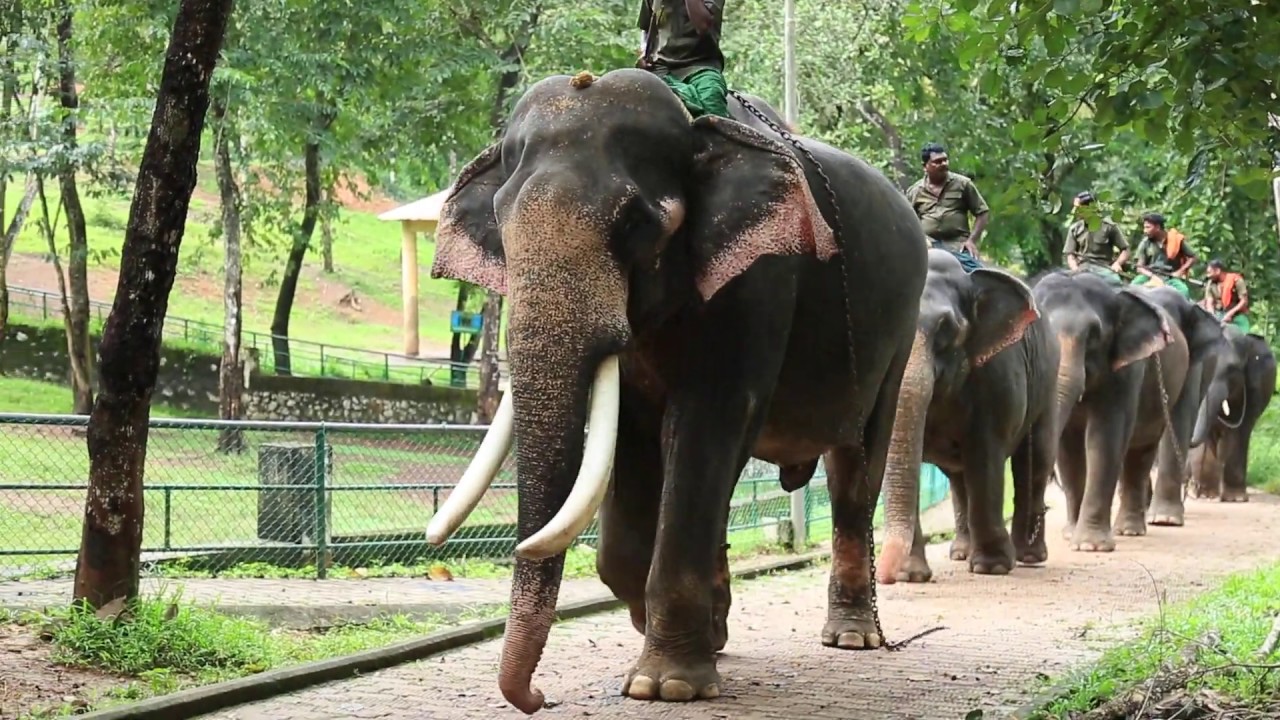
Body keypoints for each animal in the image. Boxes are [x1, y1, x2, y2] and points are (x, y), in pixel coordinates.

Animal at [421, 69, 927, 713]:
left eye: (636, 224)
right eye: (501, 223)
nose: (537, 697)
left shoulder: (759, 279)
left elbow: (705, 424)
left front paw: (667, 685)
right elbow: (632, 453)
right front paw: (681, 642)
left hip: (899, 335)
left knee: (854, 472)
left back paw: (851, 637)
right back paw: (723, 632)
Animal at [878, 250, 1059, 584]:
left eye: (946, 328)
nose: (885, 578)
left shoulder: (997, 370)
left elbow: (986, 453)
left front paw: (993, 567)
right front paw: (912, 576)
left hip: (1049, 385)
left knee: (1035, 463)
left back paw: (1028, 557)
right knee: (958, 476)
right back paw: (961, 552)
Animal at [1031, 270, 1176, 551]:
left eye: (1094, 335)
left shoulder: (1127, 370)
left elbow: (1106, 437)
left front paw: (1090, 546)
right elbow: (1069, 449)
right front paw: (1071, 536)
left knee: (1140, 453)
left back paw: (1130, 530)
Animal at [1188, 327, 1277, 502]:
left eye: (1232, 370)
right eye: (1203, 365)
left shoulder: (1255, 385)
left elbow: (1240, 431)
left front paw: (1236, 499)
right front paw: (1203, 495)